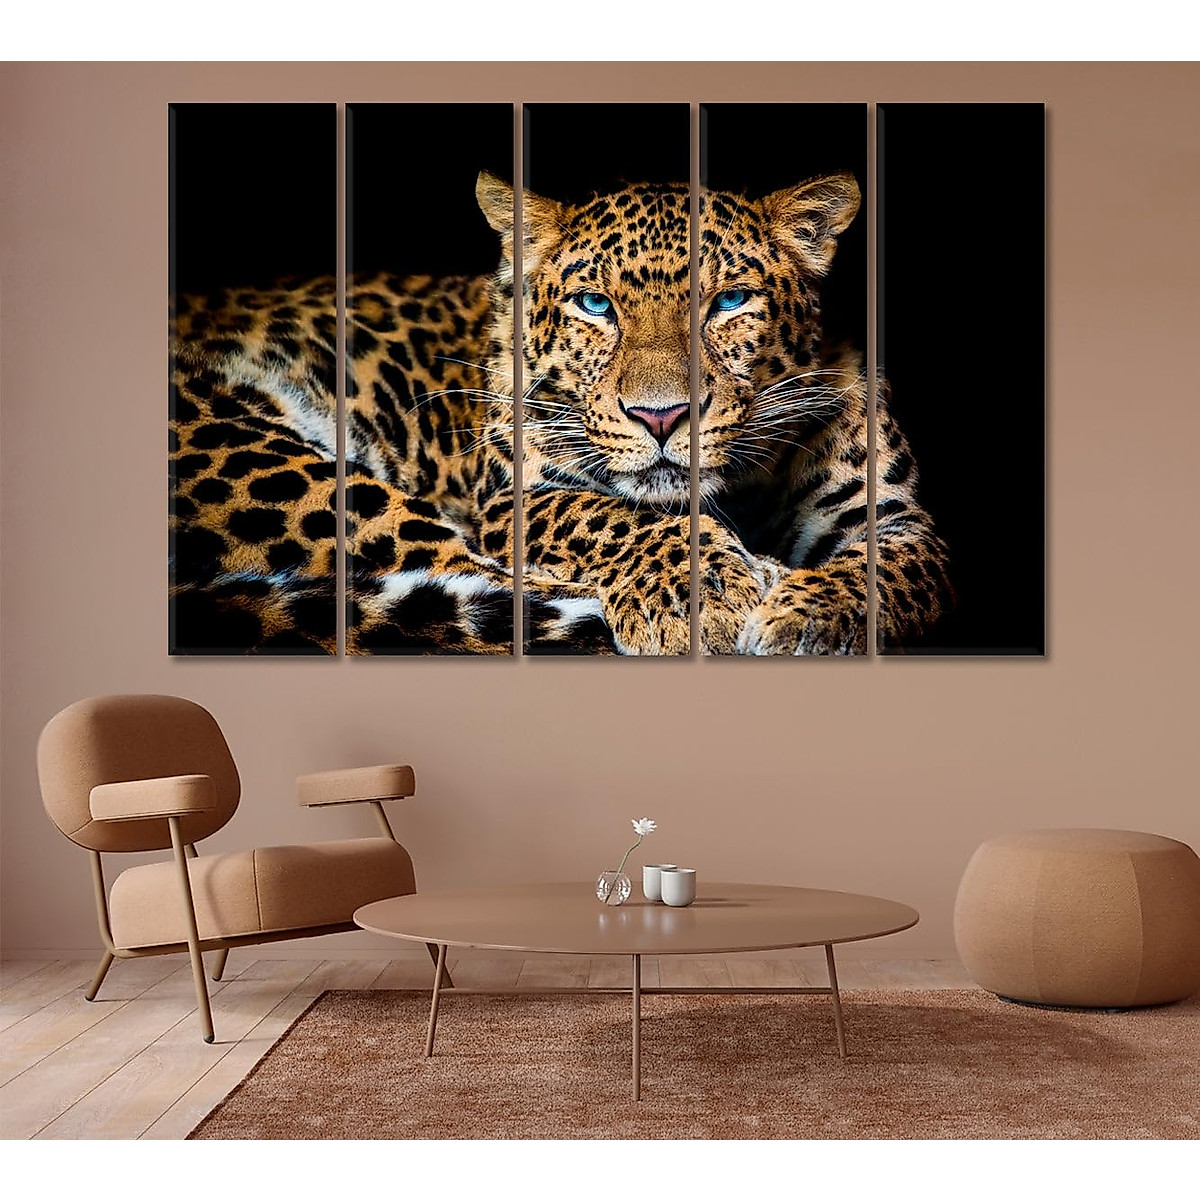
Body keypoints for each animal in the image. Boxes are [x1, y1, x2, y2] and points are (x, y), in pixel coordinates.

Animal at [169, 170, 950, 655]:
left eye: (729, 301)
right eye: (594, 305)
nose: (662, 417)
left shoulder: (893, 515)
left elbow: (893, 568)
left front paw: (809, 618)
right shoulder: (518, 494)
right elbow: (613, 515)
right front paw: (701, 592)